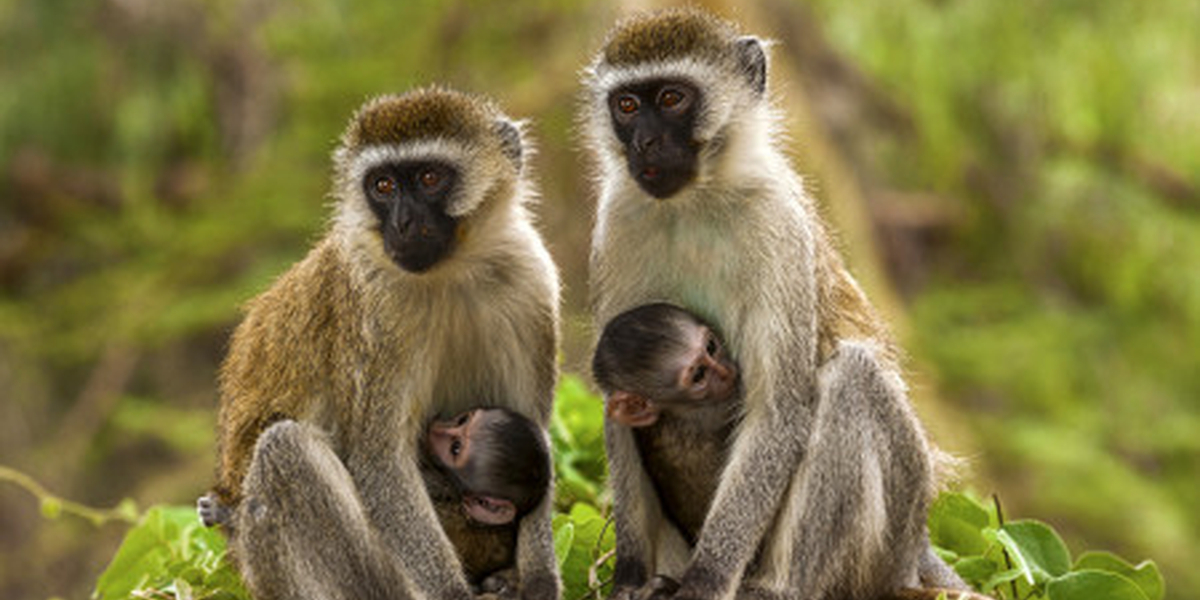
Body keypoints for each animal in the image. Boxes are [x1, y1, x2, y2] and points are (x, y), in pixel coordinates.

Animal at [204, 87, 561, 600]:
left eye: (429, 177)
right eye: (384, 186)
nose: (404, 223)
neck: (451, 272)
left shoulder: (531, 280)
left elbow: (534, 436)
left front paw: (538, 580)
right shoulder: (373, 309)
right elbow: (380, 462)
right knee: (286, 450)